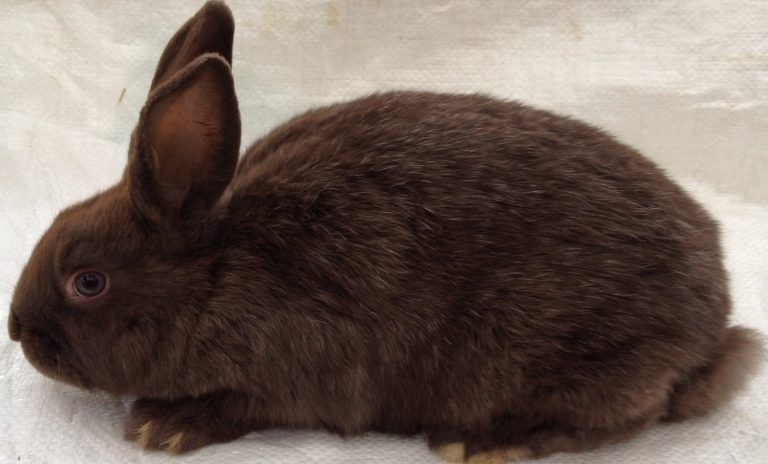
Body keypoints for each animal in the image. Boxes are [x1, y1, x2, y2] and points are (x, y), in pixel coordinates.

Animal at [7, 1, 764, 462]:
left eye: (88, 282)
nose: (16, 330)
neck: (220, 273)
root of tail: (714, 329)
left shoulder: (297, 370)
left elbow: (246, 403)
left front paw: (161, 425)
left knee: (623, 416)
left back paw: (485, 440)